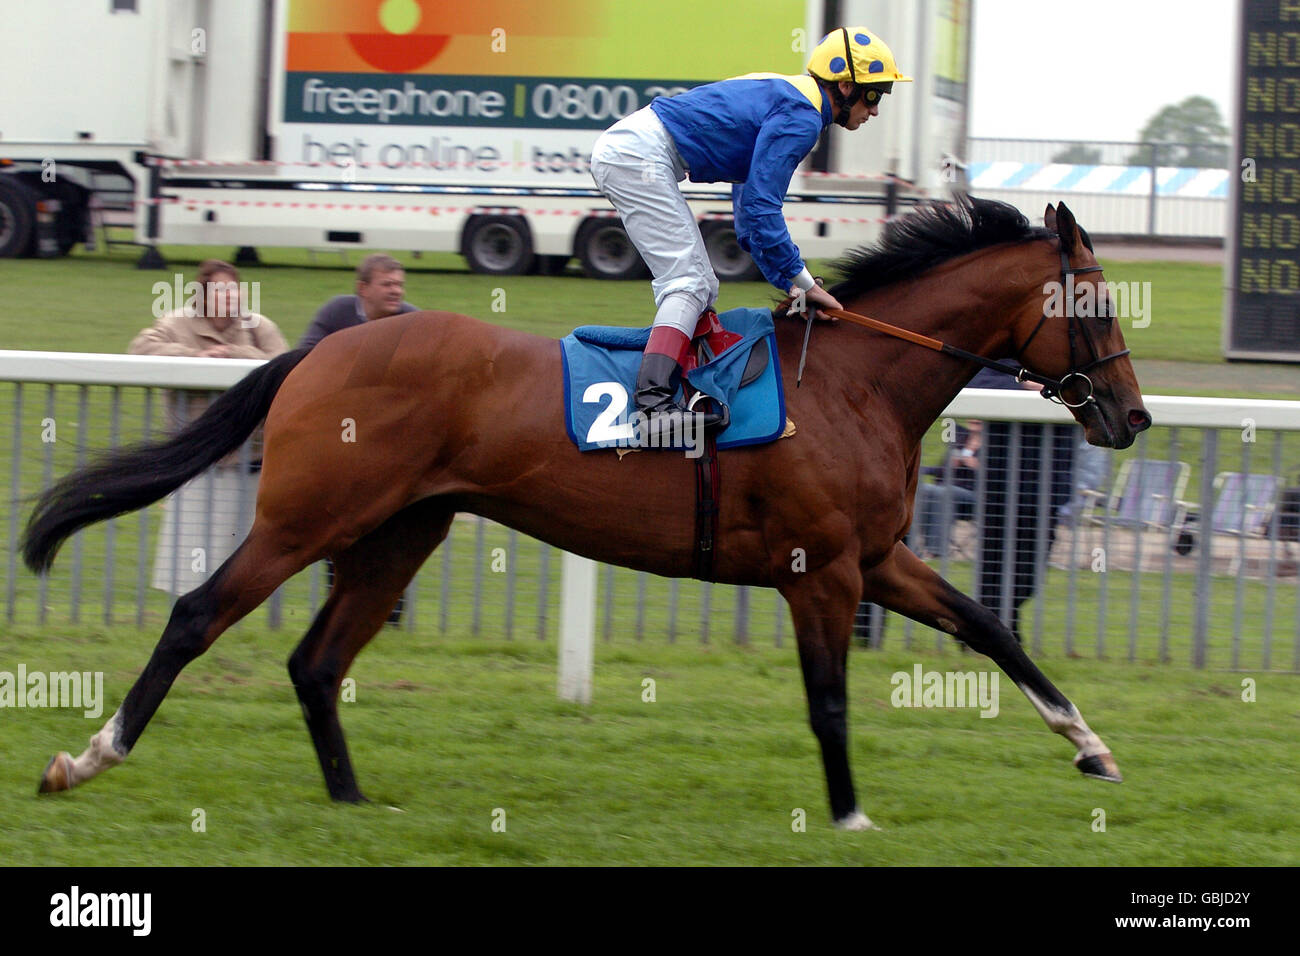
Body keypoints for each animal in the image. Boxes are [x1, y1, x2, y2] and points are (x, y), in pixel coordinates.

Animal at [23, 198, 1151, 830]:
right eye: (1095, 306)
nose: (1132, 415)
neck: (854, 382)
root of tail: (320, 348)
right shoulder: (818, 568)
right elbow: (829, 700)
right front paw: (850, 814)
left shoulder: (873, 557)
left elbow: (993, 627)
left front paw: (1092, 745)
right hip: (308, 519)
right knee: (197, 616)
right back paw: (88, 757)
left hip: (401, 530)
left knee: (317, 659)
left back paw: (351, 802)